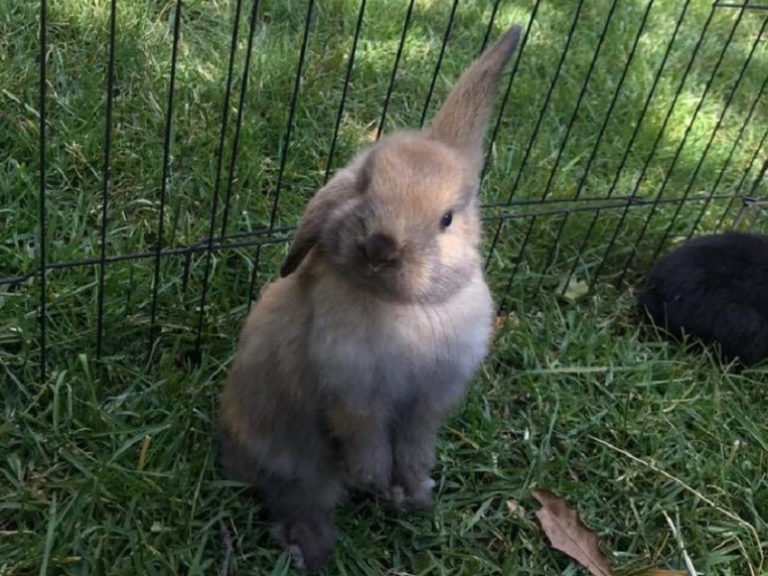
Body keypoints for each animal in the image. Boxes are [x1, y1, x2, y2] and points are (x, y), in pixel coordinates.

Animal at [217, 24, 523, 572]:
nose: (380, 247)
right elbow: (367, 440)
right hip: (292, 455)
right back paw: (310, 546)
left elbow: (415, 442)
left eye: (447, 218)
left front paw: (411, 487)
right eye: (363, 184)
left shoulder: (429, 400)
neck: (406, 309)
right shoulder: (354, 394)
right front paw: (376, 480)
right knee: (296, 494)